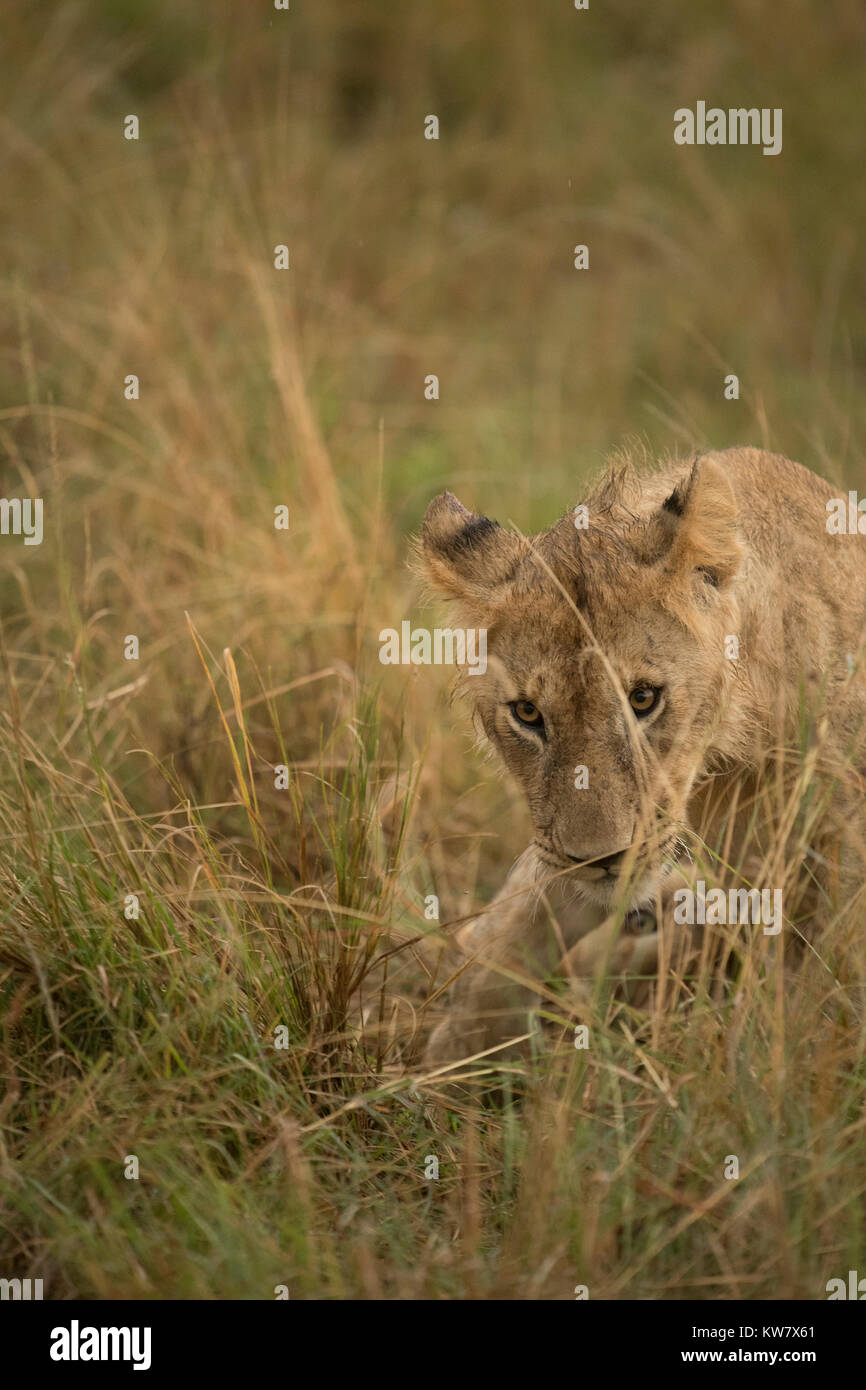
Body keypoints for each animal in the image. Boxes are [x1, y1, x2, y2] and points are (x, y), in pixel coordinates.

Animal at [418, 447, 866, 1063]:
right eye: (528, 713)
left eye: (644, 699)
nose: (602, 859)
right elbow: (520, 919)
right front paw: (447, 1055)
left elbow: (825, 987)